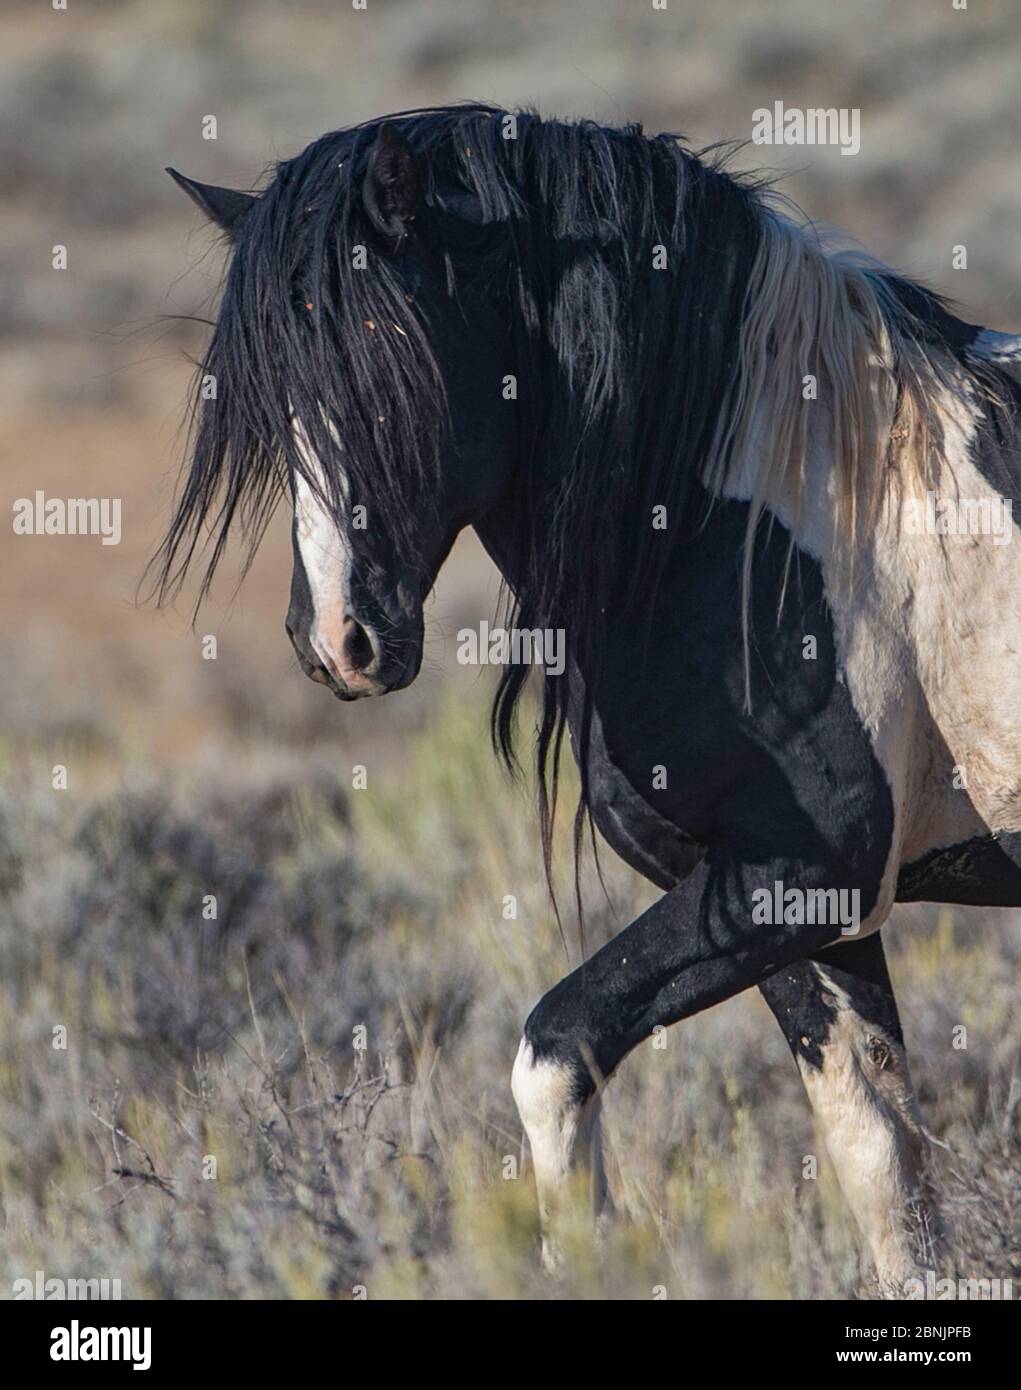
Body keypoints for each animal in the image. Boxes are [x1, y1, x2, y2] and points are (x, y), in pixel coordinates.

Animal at [157, 104, 1021, 1291]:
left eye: (388, 348)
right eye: (274, 387)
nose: (337, 641)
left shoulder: (803, 873)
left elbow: (553, 1054)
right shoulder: (812, 919)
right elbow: (880, 1166)